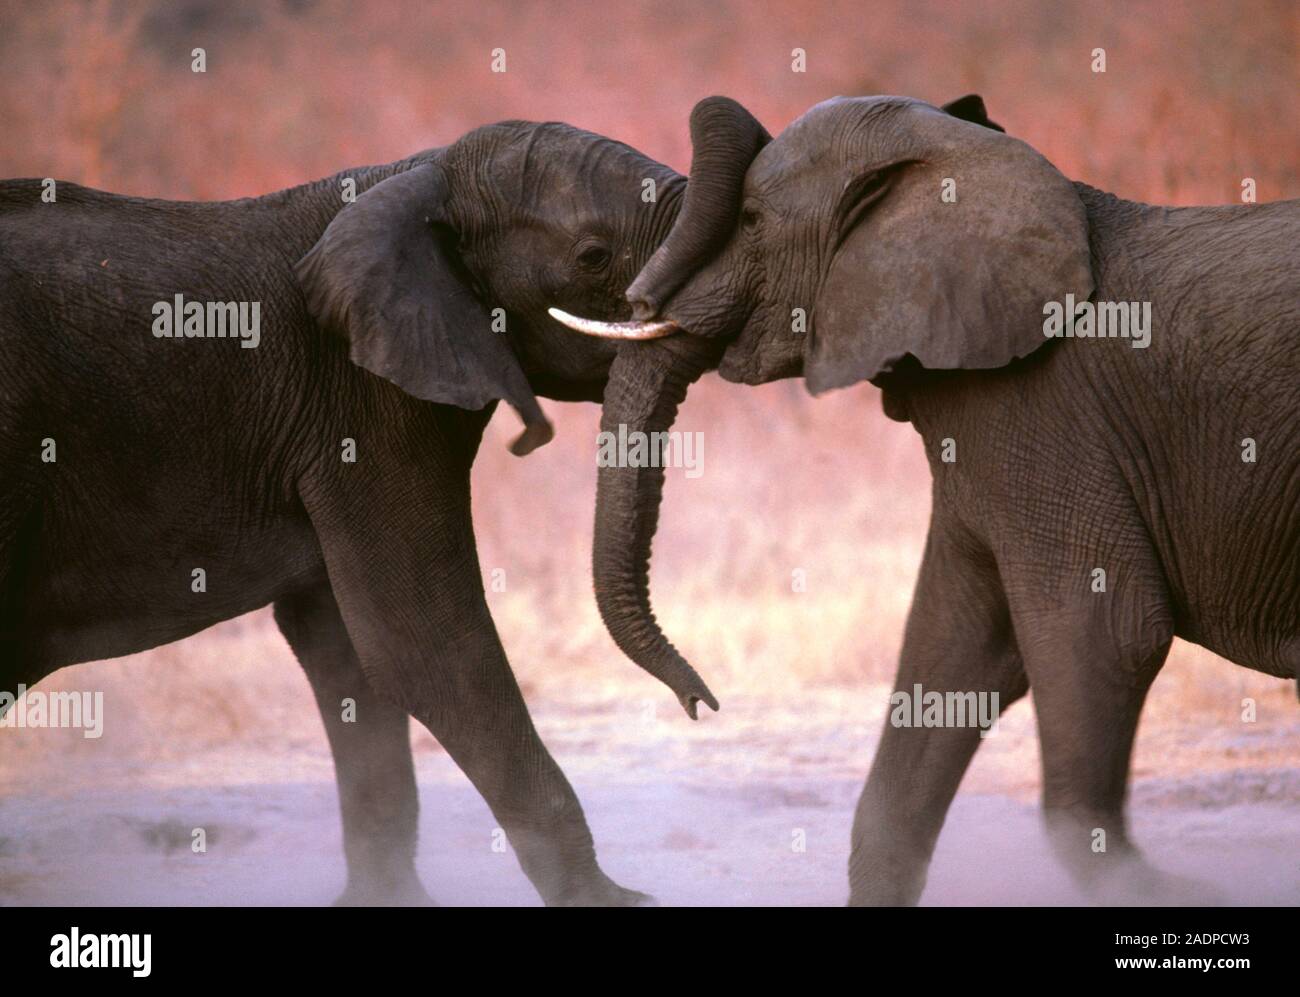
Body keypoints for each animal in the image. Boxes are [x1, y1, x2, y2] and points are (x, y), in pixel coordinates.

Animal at [0, 118, 714, 906]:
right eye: (593, 257)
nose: (701, 704)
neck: (418, 175)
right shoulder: (358, 407)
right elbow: (425, 642)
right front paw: (616, 901)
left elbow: (347, 649)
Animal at [553, 94, 1300, 904]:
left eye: (750, 220)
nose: (705, 704)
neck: (955, 157)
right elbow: (954, 650)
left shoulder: (1043, 409)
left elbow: (1106, 628)